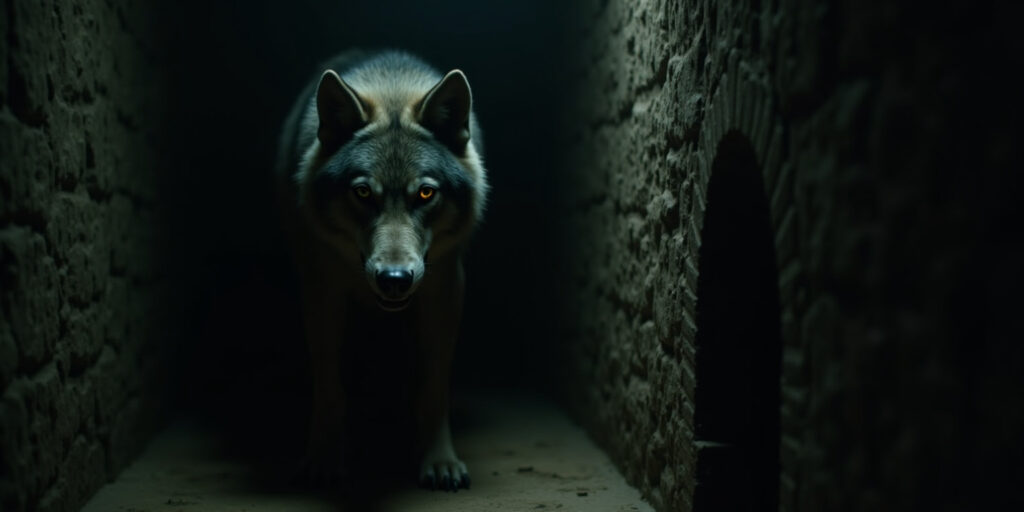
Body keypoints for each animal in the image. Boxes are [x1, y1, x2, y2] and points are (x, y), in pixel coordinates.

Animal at [275, 50, 487, 492]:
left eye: (425, 193)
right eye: (362, 192)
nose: (394, 280)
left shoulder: (445, 289)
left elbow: (434, 386)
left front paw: (439, 460)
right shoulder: (320, 288)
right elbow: (329, 383)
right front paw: (324, 457)